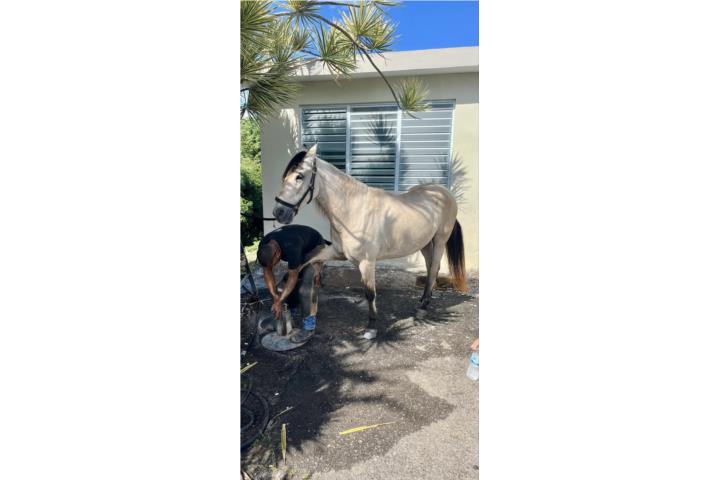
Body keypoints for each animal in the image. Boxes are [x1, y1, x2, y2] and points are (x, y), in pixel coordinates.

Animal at [272, 144, 466, 339]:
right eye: (285, 177)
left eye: (299, 176)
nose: (279, 212)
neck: (353, 210)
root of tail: (444, 192)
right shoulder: (337, 252)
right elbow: (305, 259)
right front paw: (284, 289)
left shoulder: (367, 262)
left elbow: (370, 293)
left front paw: (372, 327)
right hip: (424, 243)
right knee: (431, 267)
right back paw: (423, 301)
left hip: (440, 240)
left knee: (433, 268)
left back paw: (423, 308)